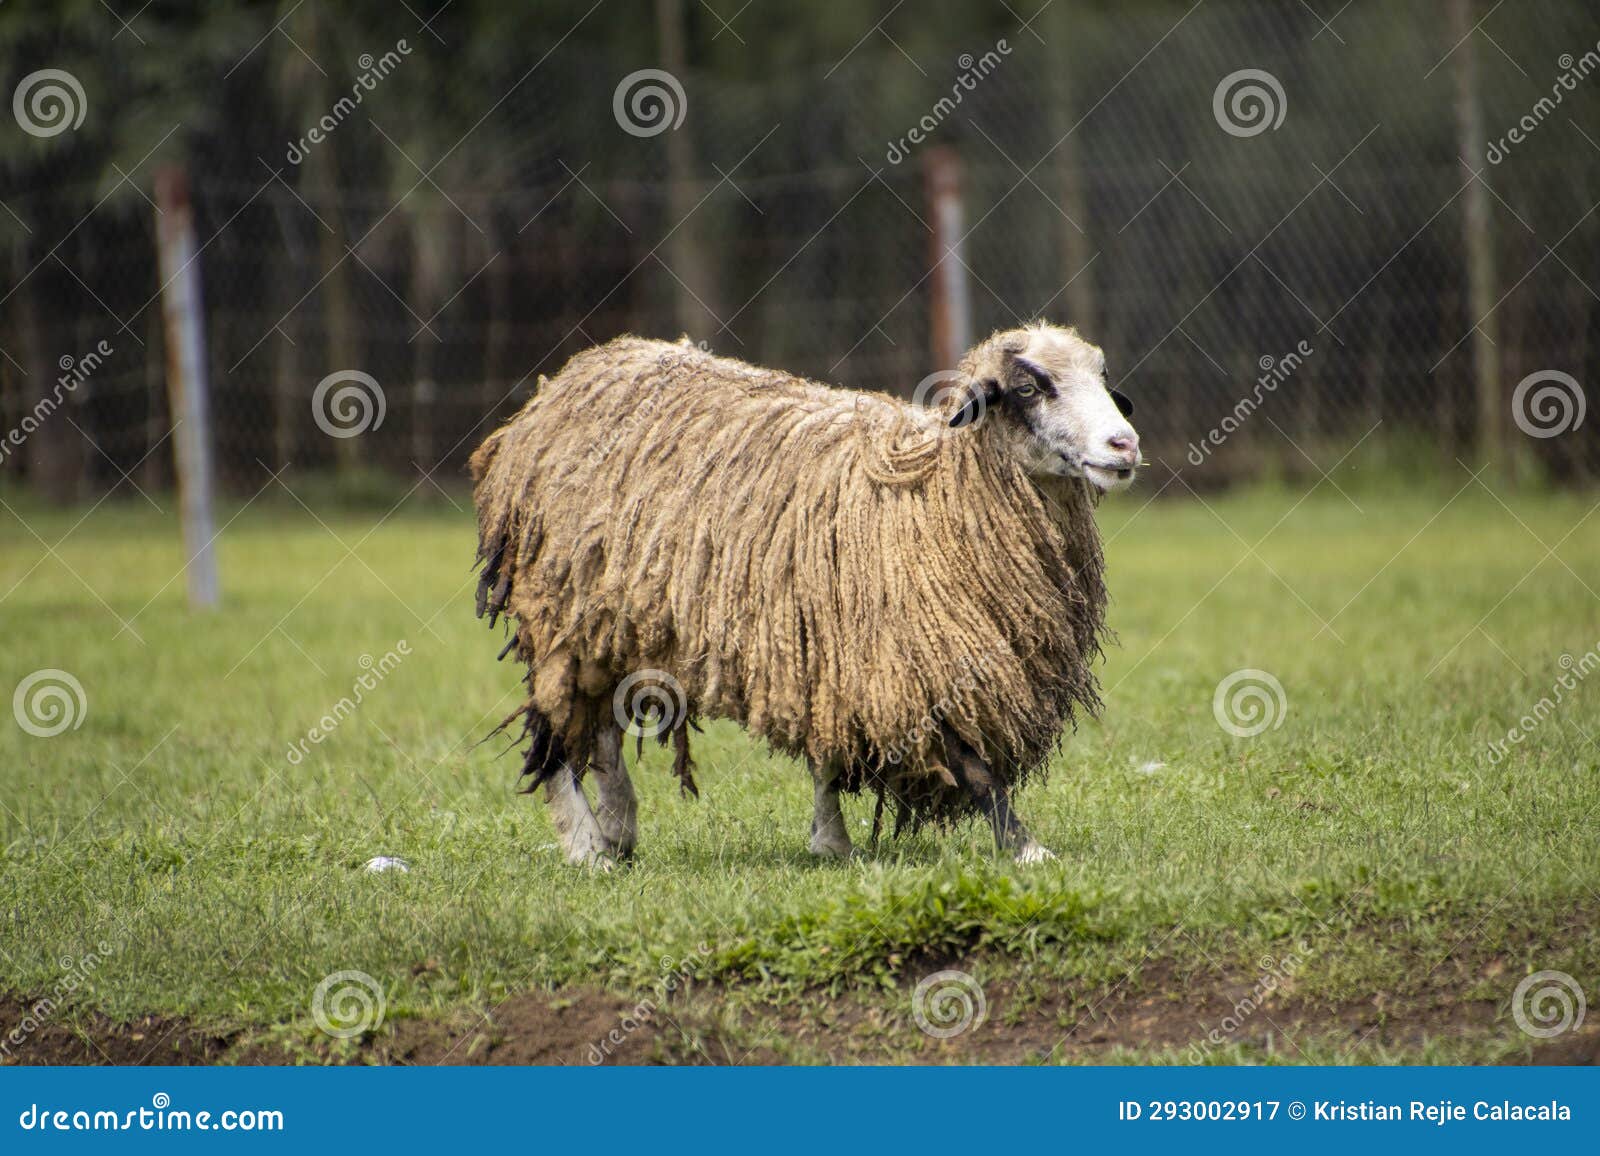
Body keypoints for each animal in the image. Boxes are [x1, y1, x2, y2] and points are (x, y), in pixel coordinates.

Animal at [470, 322, 1139, 866]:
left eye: (1102, 377)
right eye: (1029, 388)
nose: (1124, 446)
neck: (936, 494)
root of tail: (576, 374)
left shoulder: (834, 650)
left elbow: (829, 748)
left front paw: (830, 840)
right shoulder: (909, 658)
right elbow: (970, 762)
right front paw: (1026, 848)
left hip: (612, 619)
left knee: (602, 721)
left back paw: (618, 827)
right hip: (561, 608)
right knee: (554, 727)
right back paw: (588, 847)